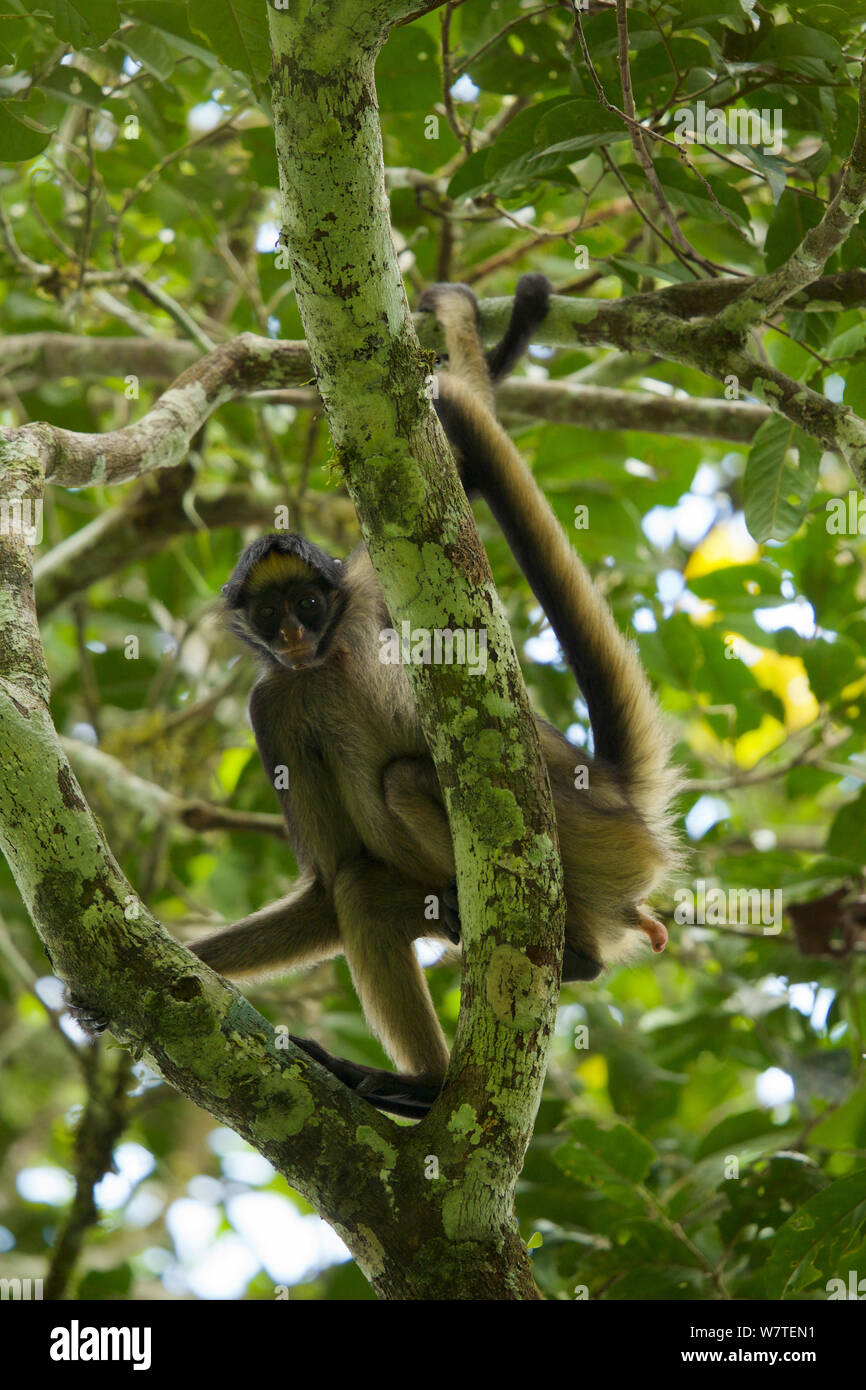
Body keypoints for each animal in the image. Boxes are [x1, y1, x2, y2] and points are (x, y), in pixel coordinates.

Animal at [189, 274, 678, 1117]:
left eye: (308, 604)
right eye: (269, 614)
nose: (293, 634)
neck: (327, 661)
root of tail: (615, 793)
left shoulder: (366, 581)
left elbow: (460, 468)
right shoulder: (271, 708)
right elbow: (331, 880)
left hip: (589, 835)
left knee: (409, 779)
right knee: (359, 886)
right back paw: (423, 1084)